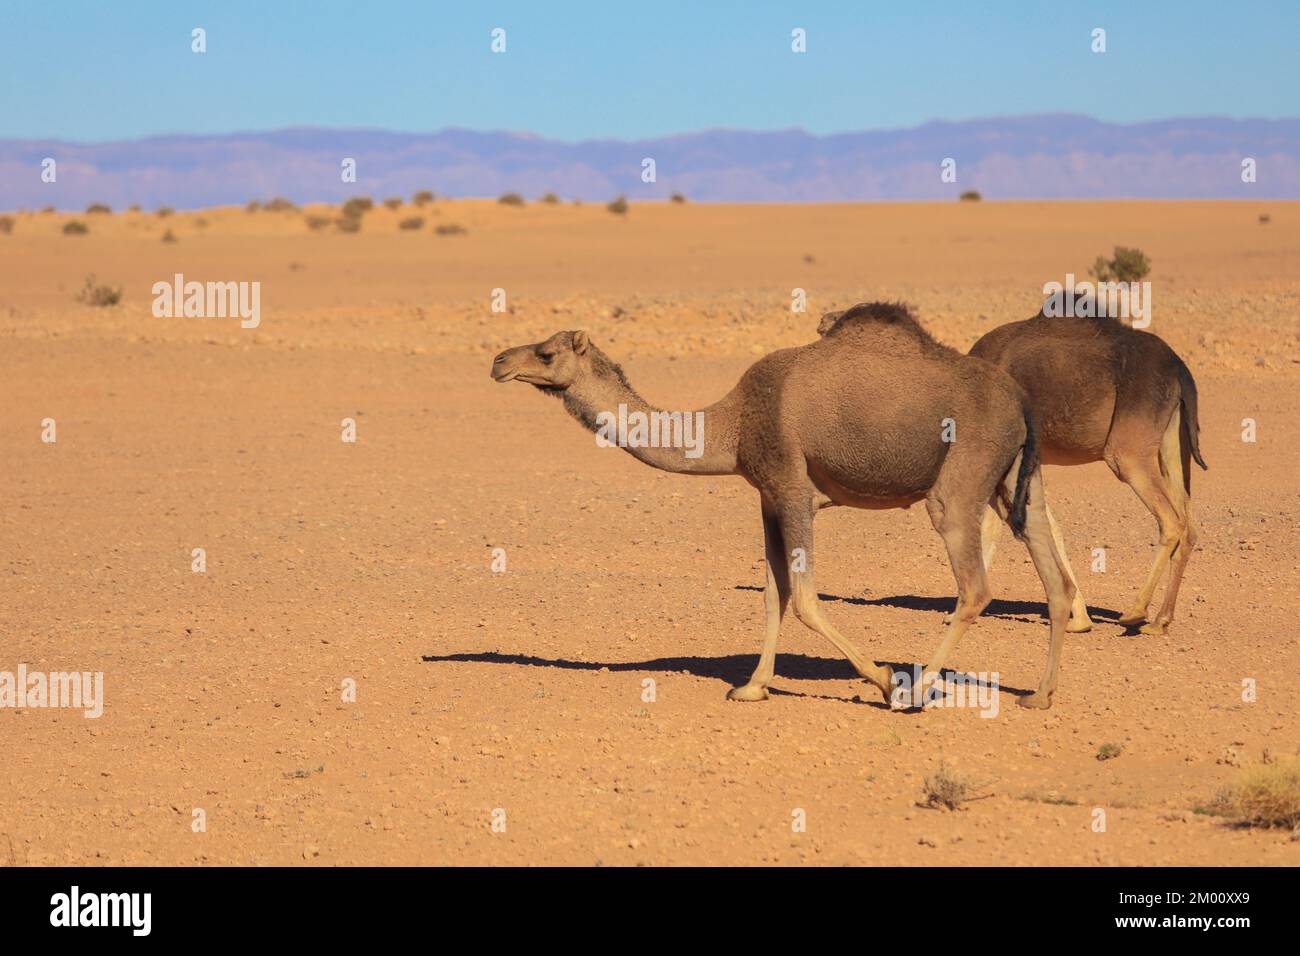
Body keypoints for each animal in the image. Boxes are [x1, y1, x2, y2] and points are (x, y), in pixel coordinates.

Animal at [491, 302, 1077, 709]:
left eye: (546, 353)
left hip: (962, 475)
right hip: (1015, 476)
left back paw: (916, 691)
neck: (732, 424)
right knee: (1052, 574)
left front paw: (886, 680)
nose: (499, 361)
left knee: (974, 586)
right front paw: (751, 687)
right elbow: (773, 593)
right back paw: (1040, 694)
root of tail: (1020, 401)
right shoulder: (768, 498)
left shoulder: (794, 489)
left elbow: (805, 600)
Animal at [819, 307, 1207, 635]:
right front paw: (1078, 618)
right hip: (1170, 441)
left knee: (1170, 519)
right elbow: (1046, 526)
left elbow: (1001, 526)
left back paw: (1136, 612)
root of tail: (1179, 368)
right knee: (1188, 523)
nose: (822, 320)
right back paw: (1160, 620)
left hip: (1127, 450)